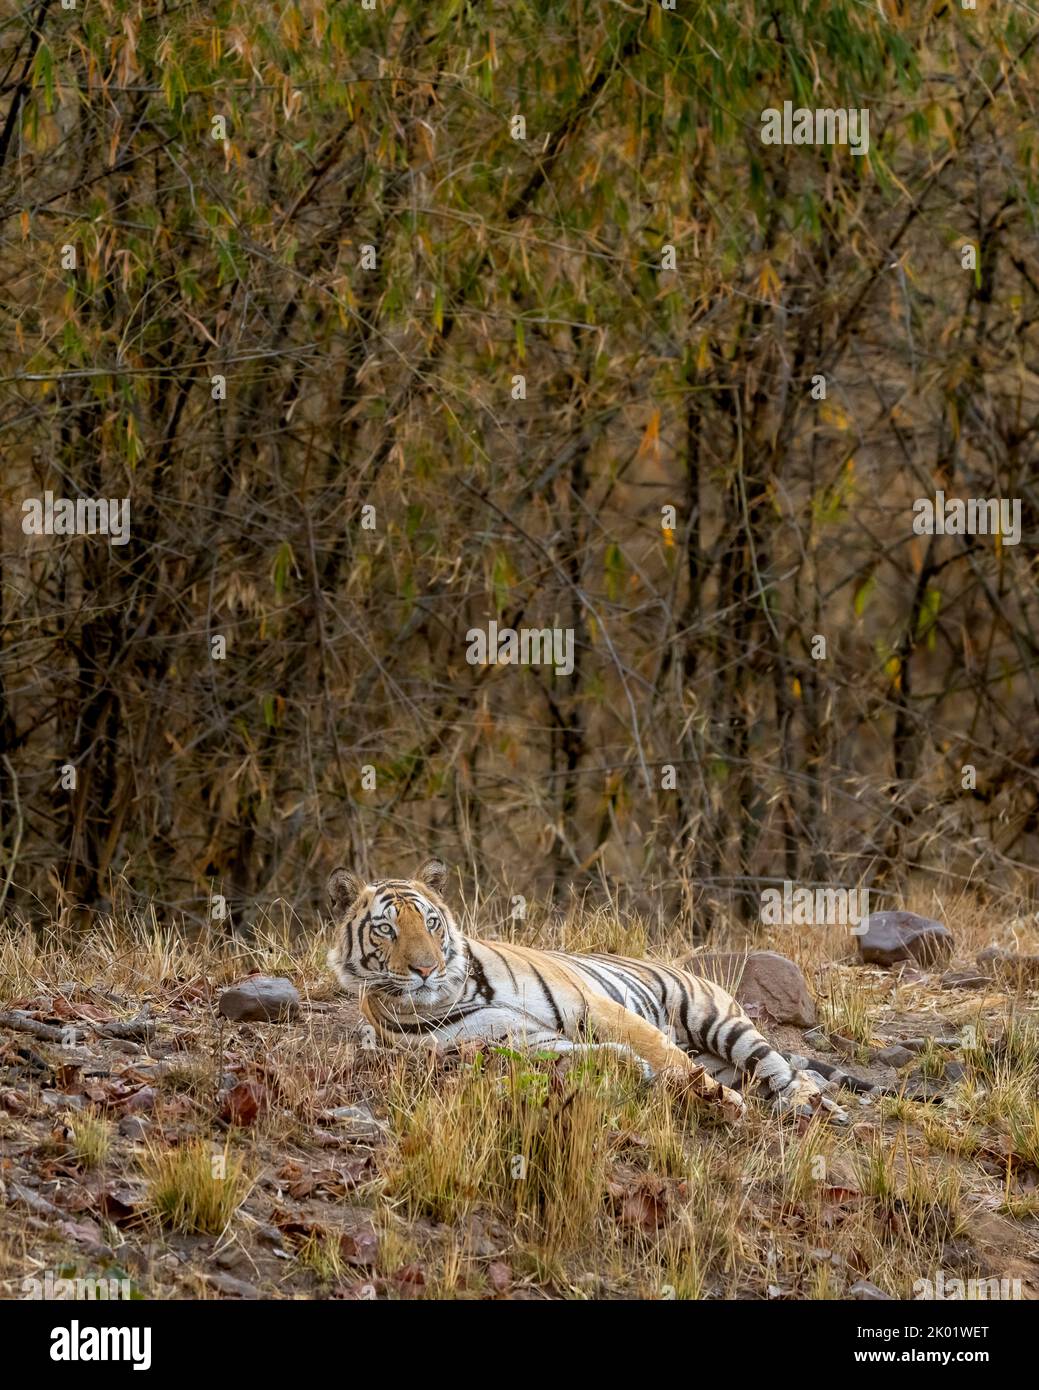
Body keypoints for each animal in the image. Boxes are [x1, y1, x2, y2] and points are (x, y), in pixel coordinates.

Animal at [326, 858, 872, 1123]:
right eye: (386, 930)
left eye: (431, 923)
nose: (426, 969)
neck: (455, 993)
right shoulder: (517, 1040)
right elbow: (589, 1058)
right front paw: (633, 1070)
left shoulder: (591, 1005)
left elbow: (661, 1052)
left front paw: (706, 1097)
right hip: (721, 1055)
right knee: (754, 1077)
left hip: (719, 1021)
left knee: (778, 1068)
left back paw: (814, 1106)